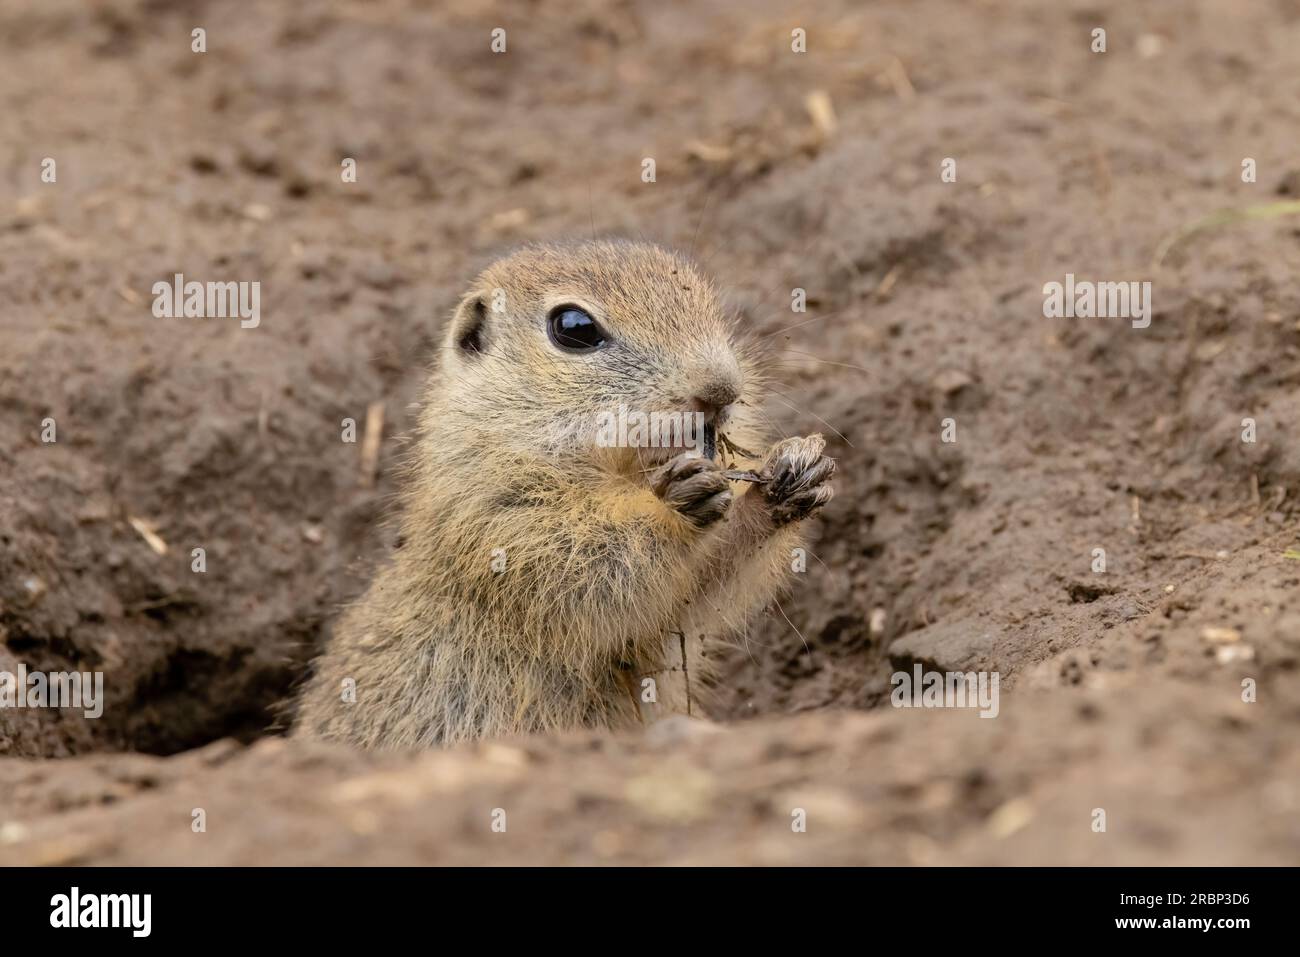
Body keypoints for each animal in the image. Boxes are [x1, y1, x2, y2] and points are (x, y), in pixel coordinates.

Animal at [295, 240, 835, 748]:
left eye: (707, 300)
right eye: (574, 327)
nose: (719, 389)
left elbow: (694, 594)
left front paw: (792, 475)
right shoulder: (494, 515)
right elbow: (586, 568)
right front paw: (674, 505)